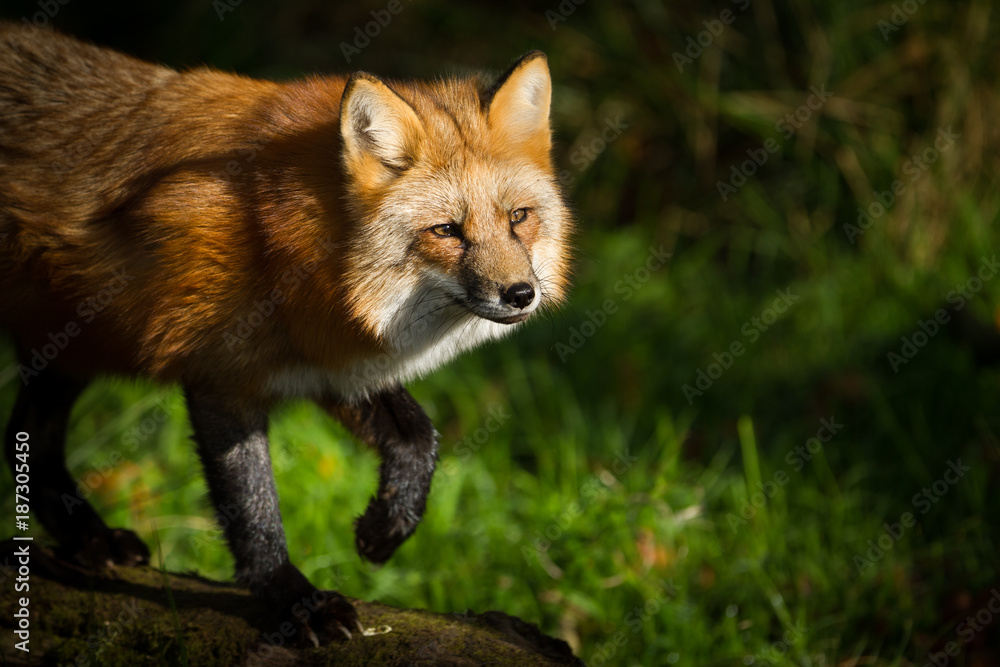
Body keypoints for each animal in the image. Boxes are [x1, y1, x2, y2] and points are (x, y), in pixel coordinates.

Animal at [0, 23, 571, 645]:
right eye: (446, 230)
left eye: (517, 218)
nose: (520, 294)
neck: (284, 245)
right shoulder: (220, 377)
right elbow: (254, 510)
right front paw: (294, 601)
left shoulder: (328, 360)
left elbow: (420, 436)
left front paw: (388, 526)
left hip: (68, 349)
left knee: (25, 438)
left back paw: (88, 540)